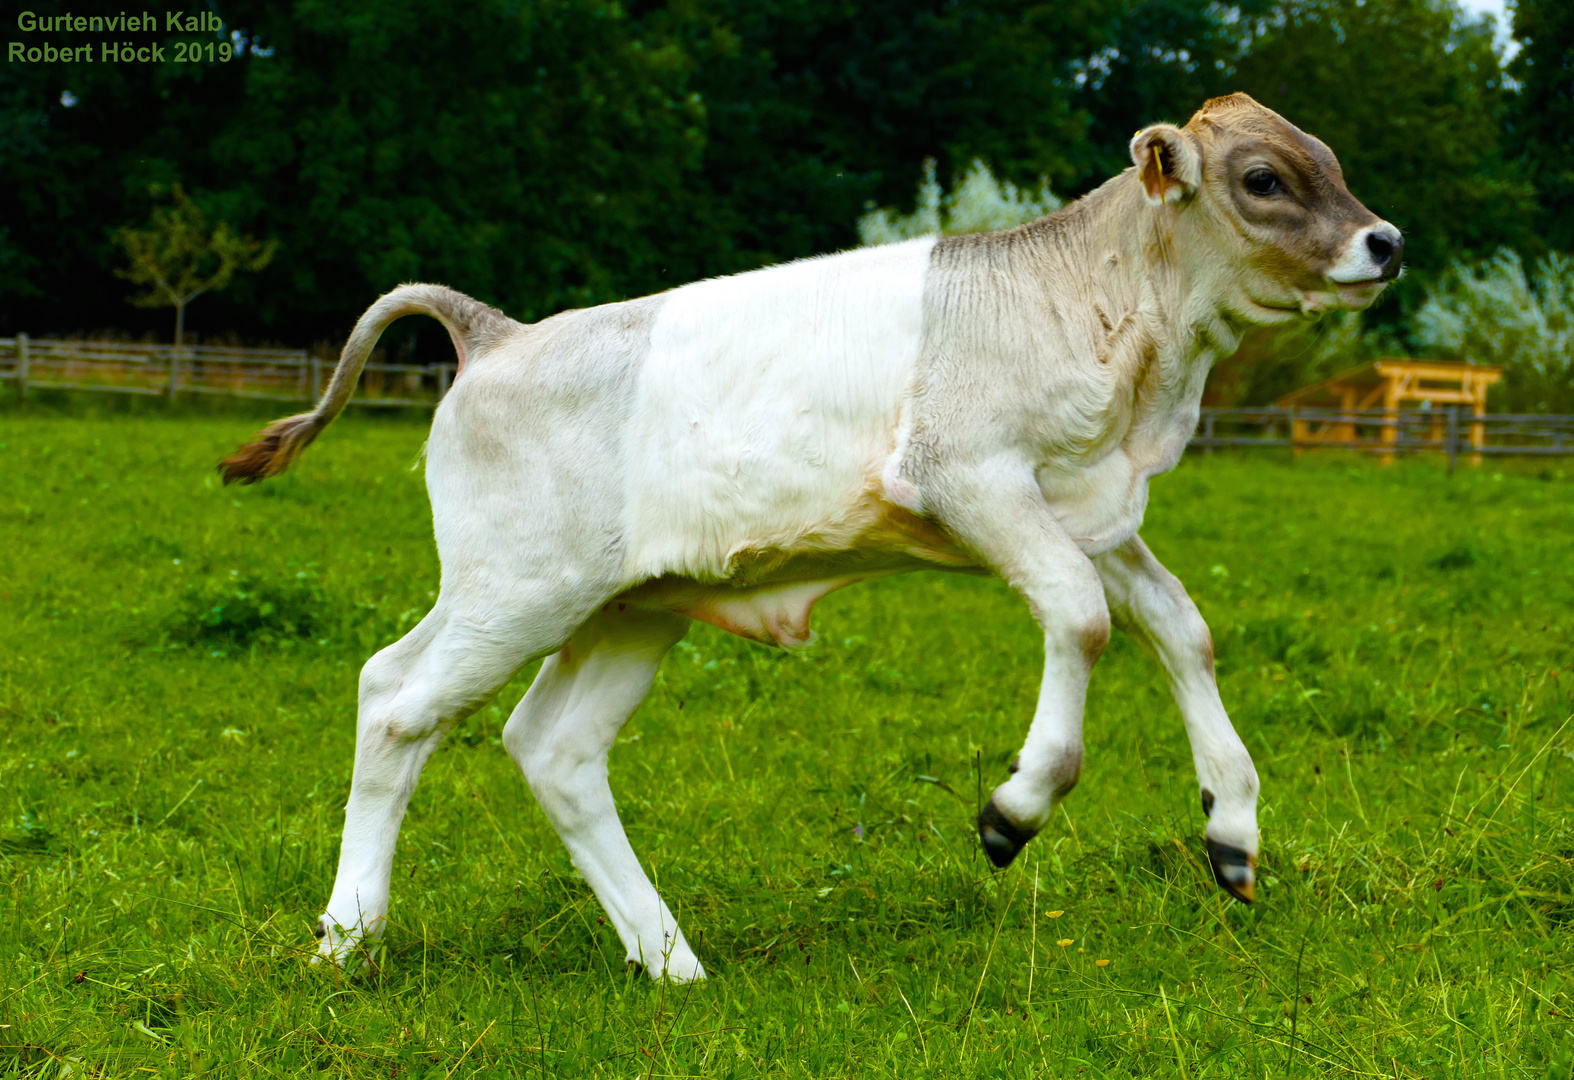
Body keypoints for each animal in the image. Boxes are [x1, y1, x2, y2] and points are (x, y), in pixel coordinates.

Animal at [221, 97, 1404, 988]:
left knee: (553, 749)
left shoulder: (1088, 507)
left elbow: (1179, 629)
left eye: (1331, 166)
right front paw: (1013, 810)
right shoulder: (971, 478)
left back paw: (670, 961)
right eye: (1262, 179)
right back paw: (348, 939)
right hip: (512, 589)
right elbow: (1081, 620)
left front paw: (1232, 827)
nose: (1384, 241)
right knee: (395, 699)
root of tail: (498, 332)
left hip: (626, 607)